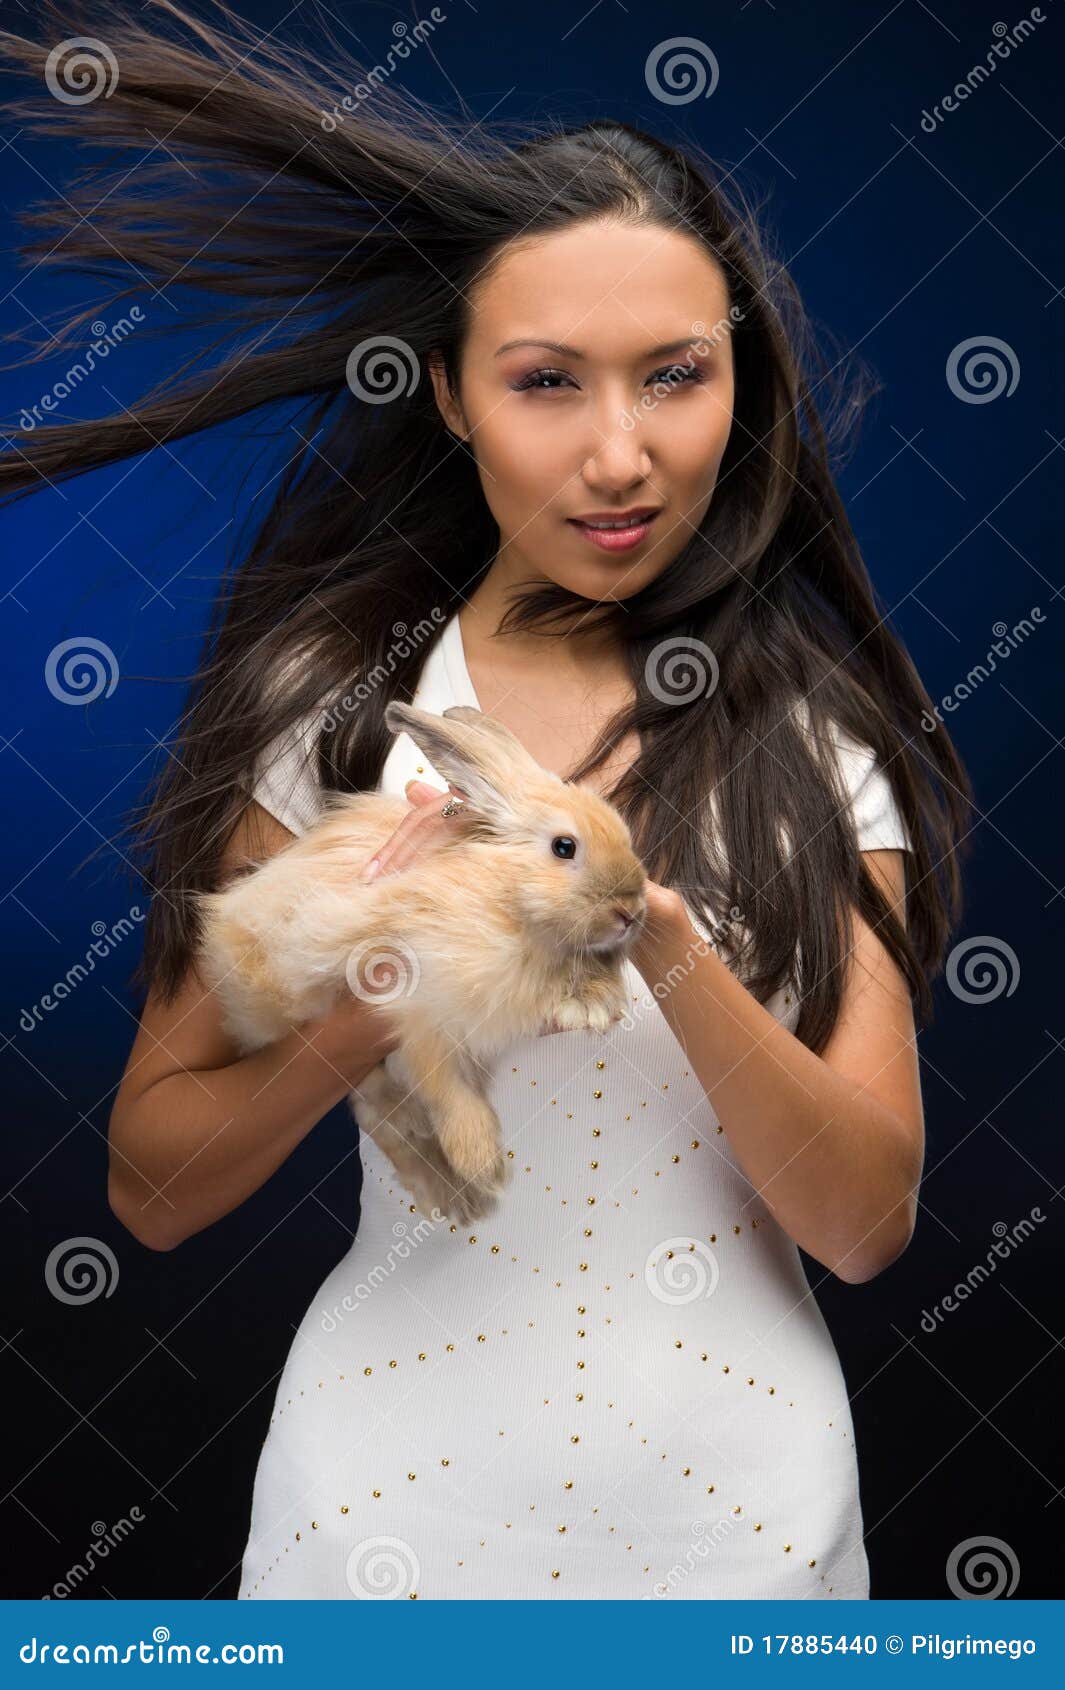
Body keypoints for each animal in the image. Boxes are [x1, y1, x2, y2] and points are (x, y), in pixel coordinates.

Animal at [195, 700, 648, 1224]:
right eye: (564, 847)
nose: (631, 912)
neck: (503, 903)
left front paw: (591, 1003)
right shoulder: (415, 1008)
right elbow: (444, 1087)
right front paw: (481, 1162)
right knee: (377, 1106)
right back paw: (453, 1184)